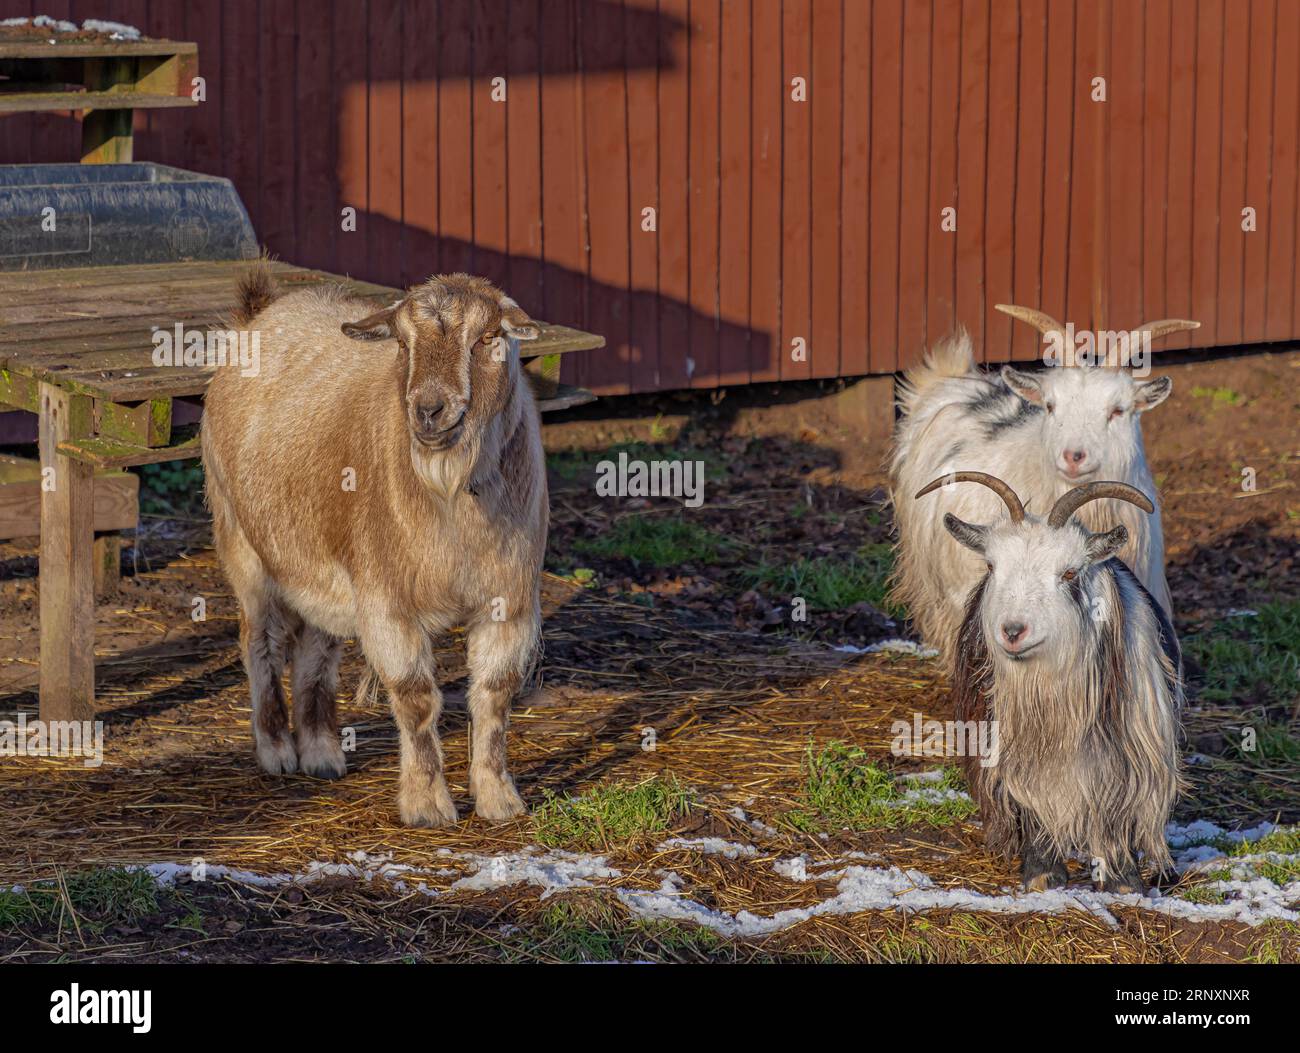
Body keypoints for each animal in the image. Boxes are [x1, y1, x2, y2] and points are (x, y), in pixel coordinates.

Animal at [202, 266, 547, 827]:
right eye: (402, 344)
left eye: (488, 338)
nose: (428, 410)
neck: (450, 496)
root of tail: (262, 313)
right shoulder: (388, 602)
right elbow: (415, 698)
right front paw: (427, 804)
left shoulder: (510, 601)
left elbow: (494, 695)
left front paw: (498, 798)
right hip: (241, 539)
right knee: (260, 641)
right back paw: (276, 749)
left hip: (319, 560)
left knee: (317, 648)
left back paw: (320, 751)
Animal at [919, 471, 1184, 893]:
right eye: (991, 566)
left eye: (1070, 573)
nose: (1013, 631)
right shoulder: (1011, 744)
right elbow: (1030, 803)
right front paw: (1043, 875)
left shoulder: (1133, 750)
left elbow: (1119, 809)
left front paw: (1125, 882)